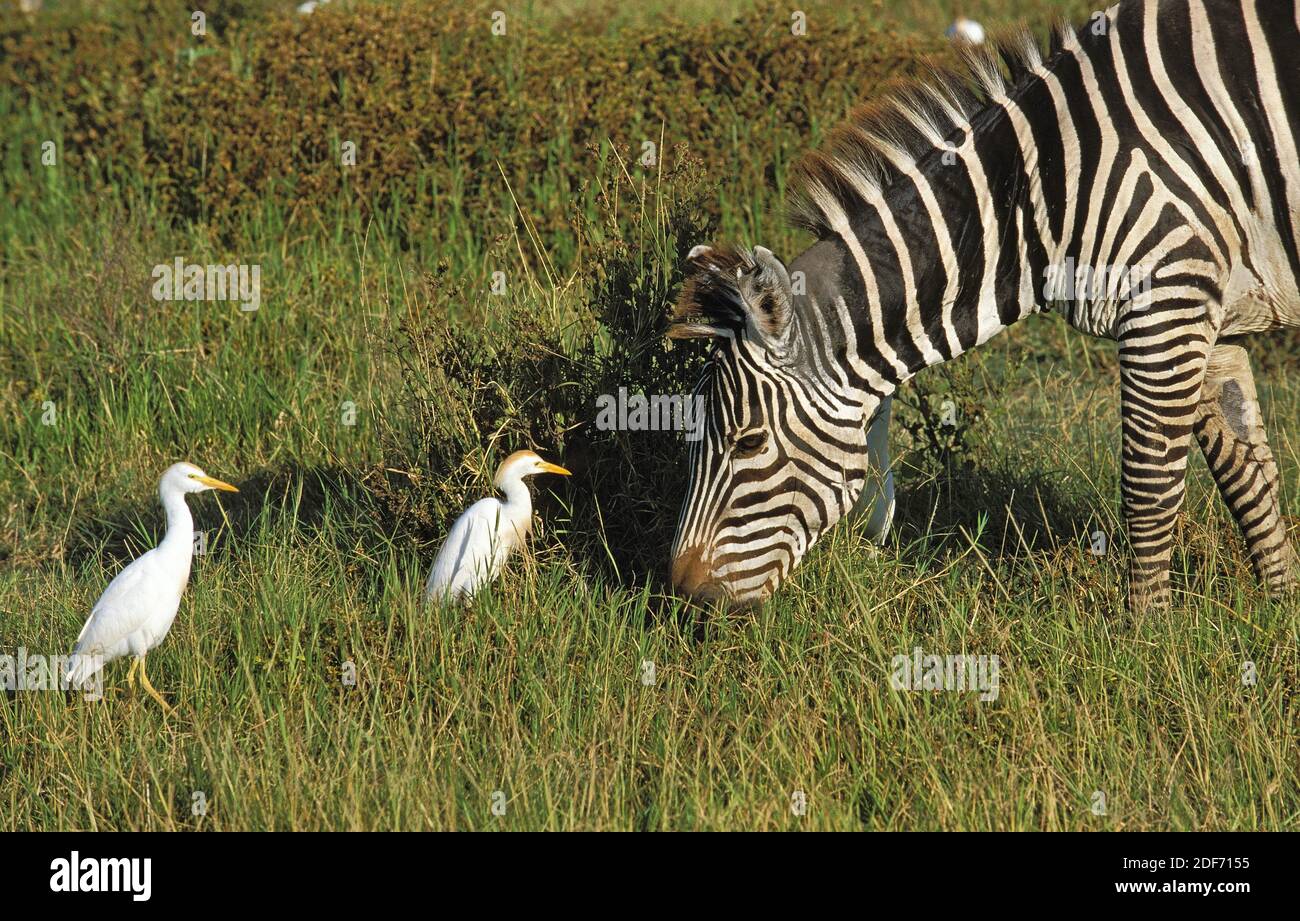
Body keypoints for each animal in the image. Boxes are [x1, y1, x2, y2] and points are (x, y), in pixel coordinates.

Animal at [668, 0, 1300, 612]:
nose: (683, 592)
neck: (1042, 187)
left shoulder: (1166, 297)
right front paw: (1278, 609)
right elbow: (1246, 471)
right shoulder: (1210, 309)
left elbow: (1149, 486)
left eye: (749, 442)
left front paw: (1147, 632)